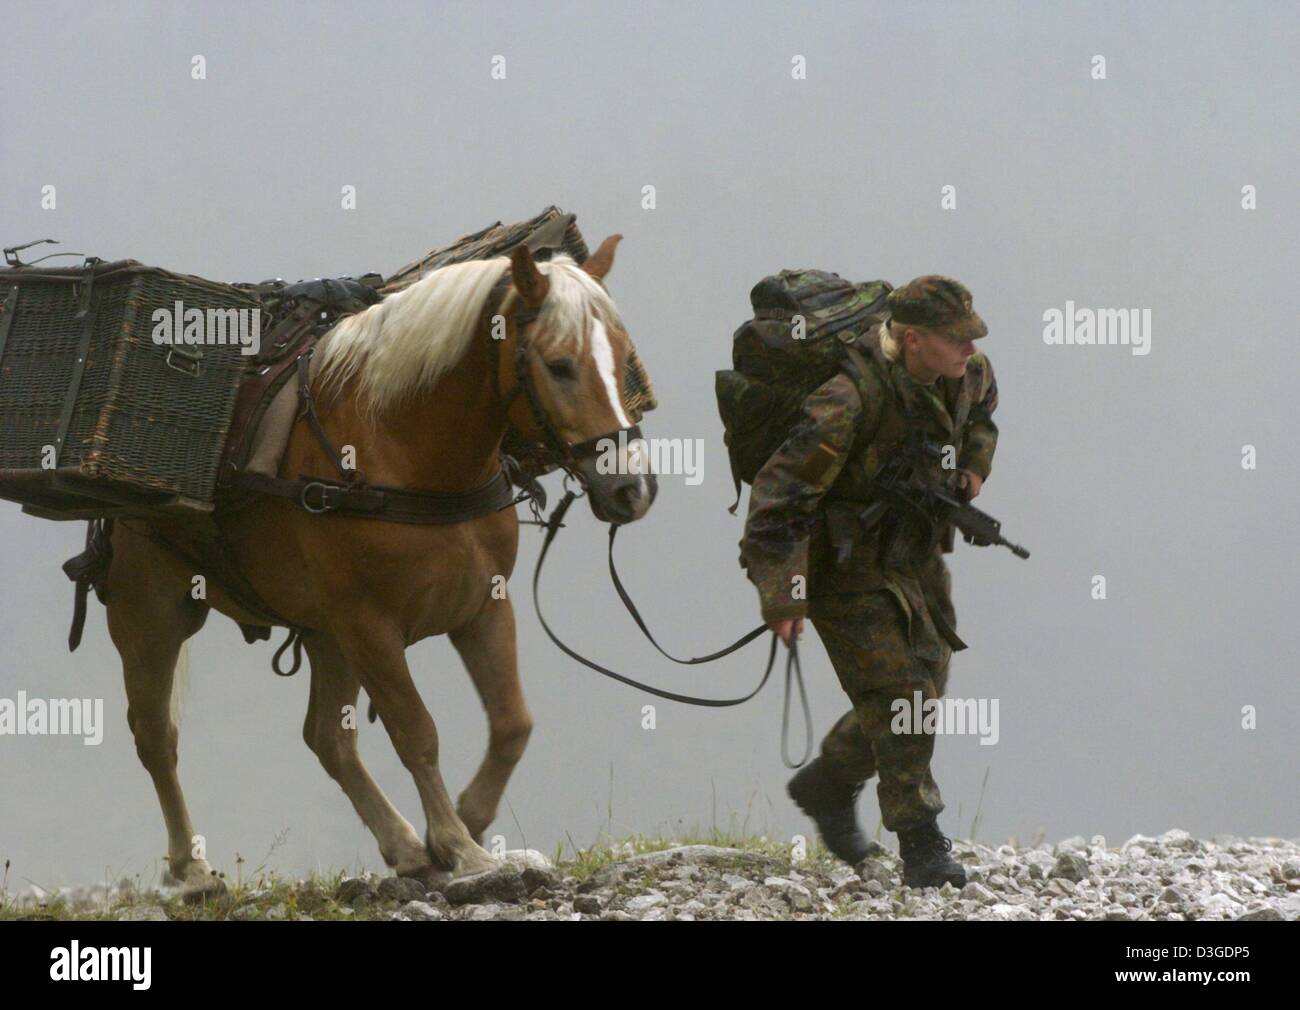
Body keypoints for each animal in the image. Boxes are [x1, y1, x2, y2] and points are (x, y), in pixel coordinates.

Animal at [101, 236, 657, 895]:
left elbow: (511, 723)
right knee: (155, 736)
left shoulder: (482, 607)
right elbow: (416, 732)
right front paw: (461, 847)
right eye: (559, 364)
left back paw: (403, 846)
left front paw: (467, 820)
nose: (631, 489)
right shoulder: (371, 625)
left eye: (621, 355)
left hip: (325, 634)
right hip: (153, 613)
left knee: (327, 739)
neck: (408, 449)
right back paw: (191, 866)